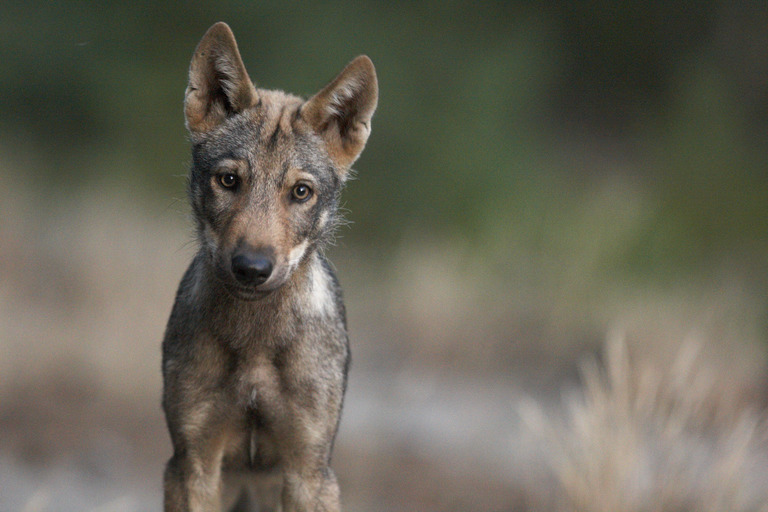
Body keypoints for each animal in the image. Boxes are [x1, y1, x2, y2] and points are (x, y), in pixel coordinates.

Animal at [161, 22, 377, 512]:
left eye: (300, 192)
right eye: (229, 181)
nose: (252, 268)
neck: (255, 342)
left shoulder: (309, 472)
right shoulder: (191, 464)